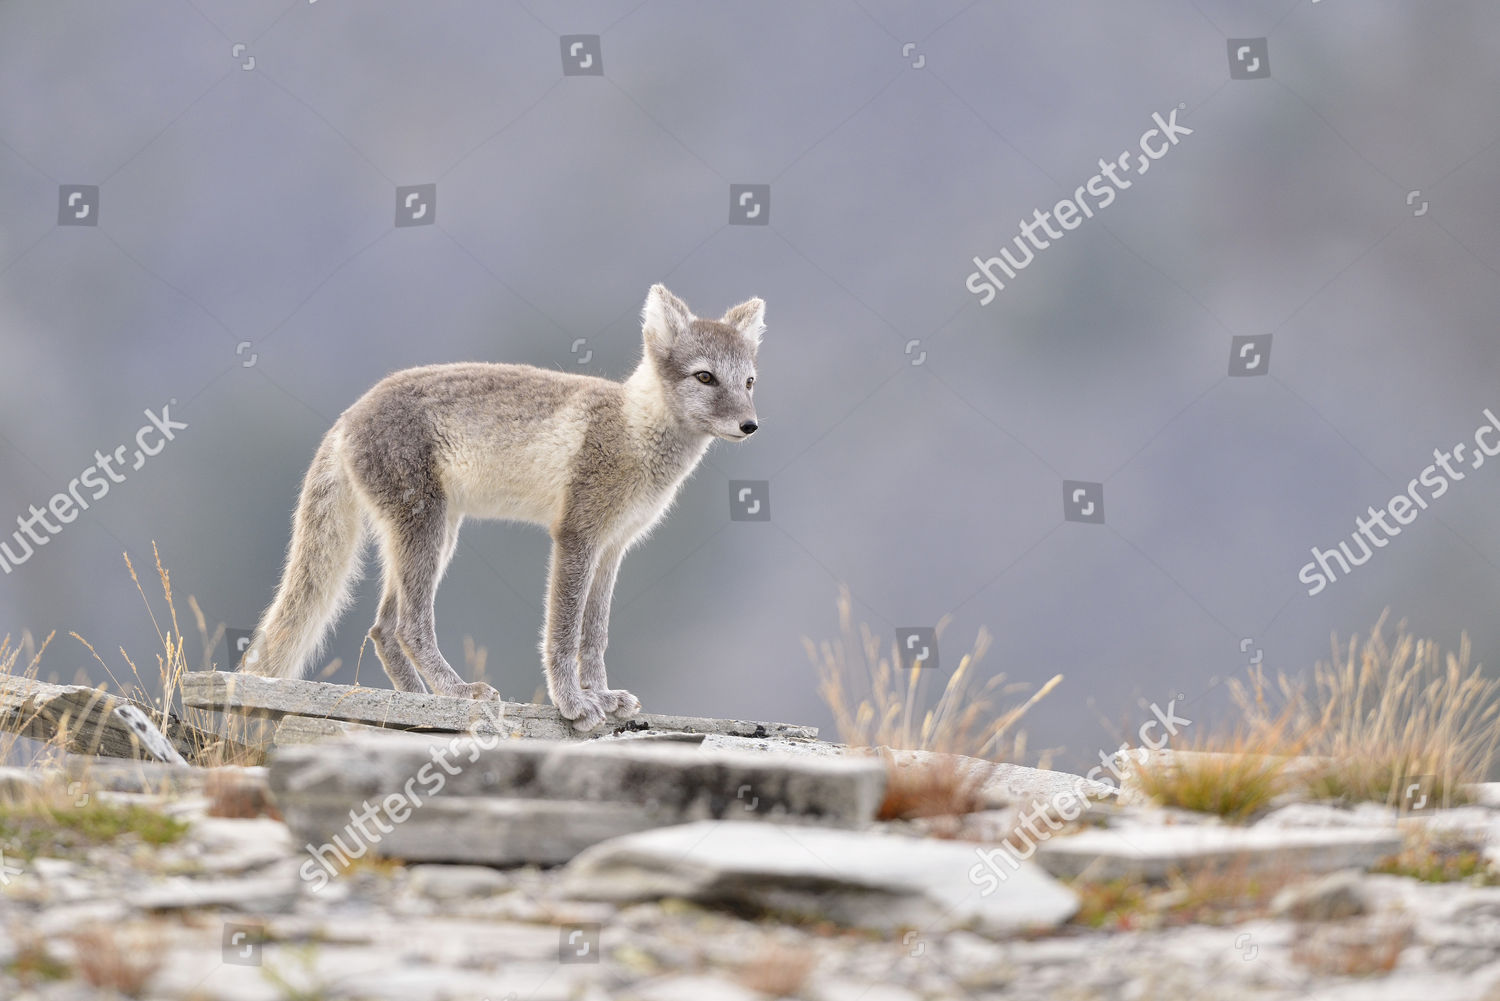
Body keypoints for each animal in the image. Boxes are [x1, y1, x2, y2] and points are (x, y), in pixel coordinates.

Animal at [237, 284, 763, 731]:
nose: (750, 426)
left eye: (749, 382)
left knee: (383, 628)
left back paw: (422, 703)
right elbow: (563, 633)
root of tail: (348, 416)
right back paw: (456, 692)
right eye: (705, 377)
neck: (634, 431)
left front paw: (601, 695)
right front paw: (573, 704)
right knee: (408, 626)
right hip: (425, 532)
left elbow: (594, 636)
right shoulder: (576, 536)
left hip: (433, 537)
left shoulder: (613, 548)